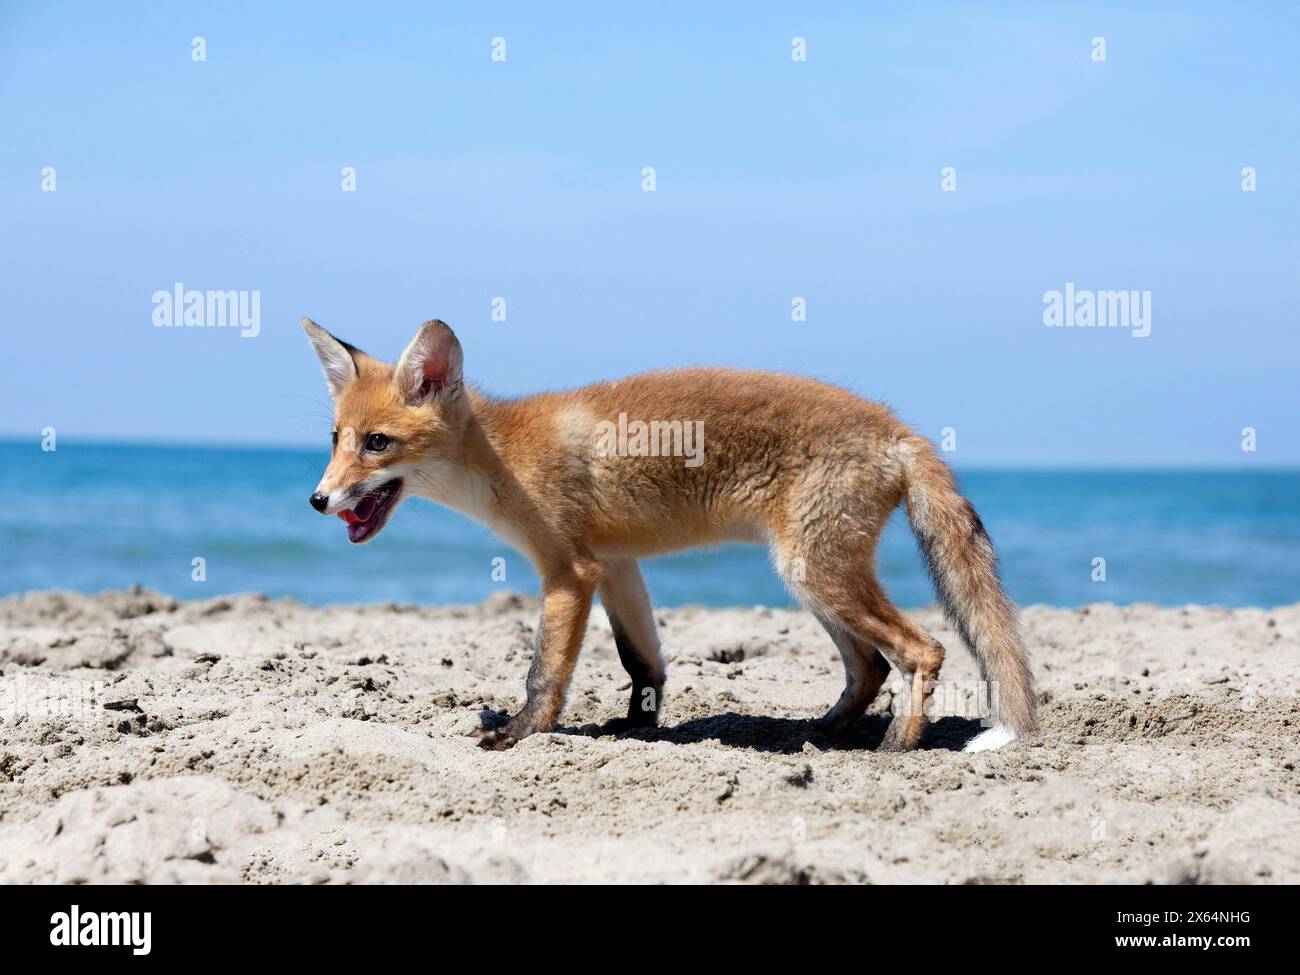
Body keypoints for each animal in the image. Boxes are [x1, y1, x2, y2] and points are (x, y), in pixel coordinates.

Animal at [301, 316, 1037, 753]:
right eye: (336, 438)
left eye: (377, 442)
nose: (318, 499)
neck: (504, 455)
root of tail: (897, 426)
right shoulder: (615, 564)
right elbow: (643, 663)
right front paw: (634, 726)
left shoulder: (568, 571)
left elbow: (544, 672)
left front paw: (518, 734)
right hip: (812, 579)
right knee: (871, 666)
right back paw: (811, 737)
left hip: (816, 573)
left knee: (922, 650)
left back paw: (895, 748)